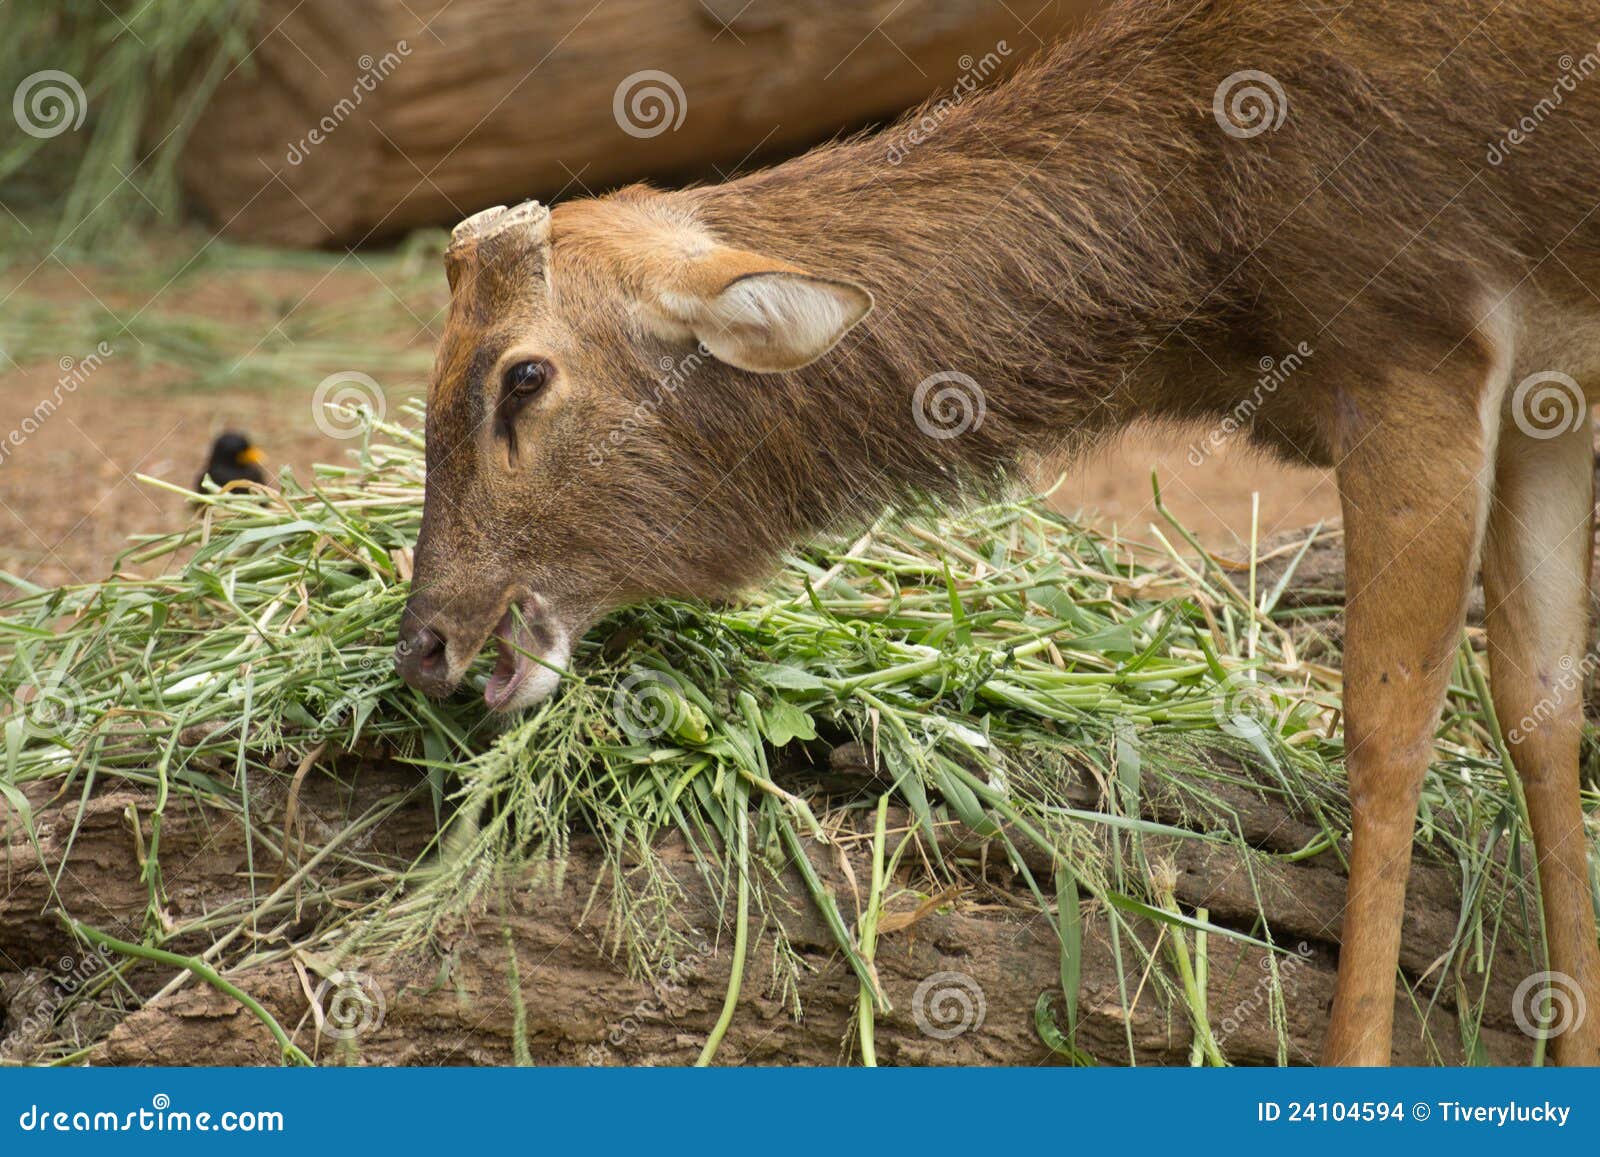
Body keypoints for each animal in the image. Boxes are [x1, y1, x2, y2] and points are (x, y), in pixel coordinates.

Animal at [394, 0, 1600, 1065]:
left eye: (524, 376)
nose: (423, 641)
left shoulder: (1415, 346)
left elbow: (1386, 732)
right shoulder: (1547, 395)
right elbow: (1540, 706)